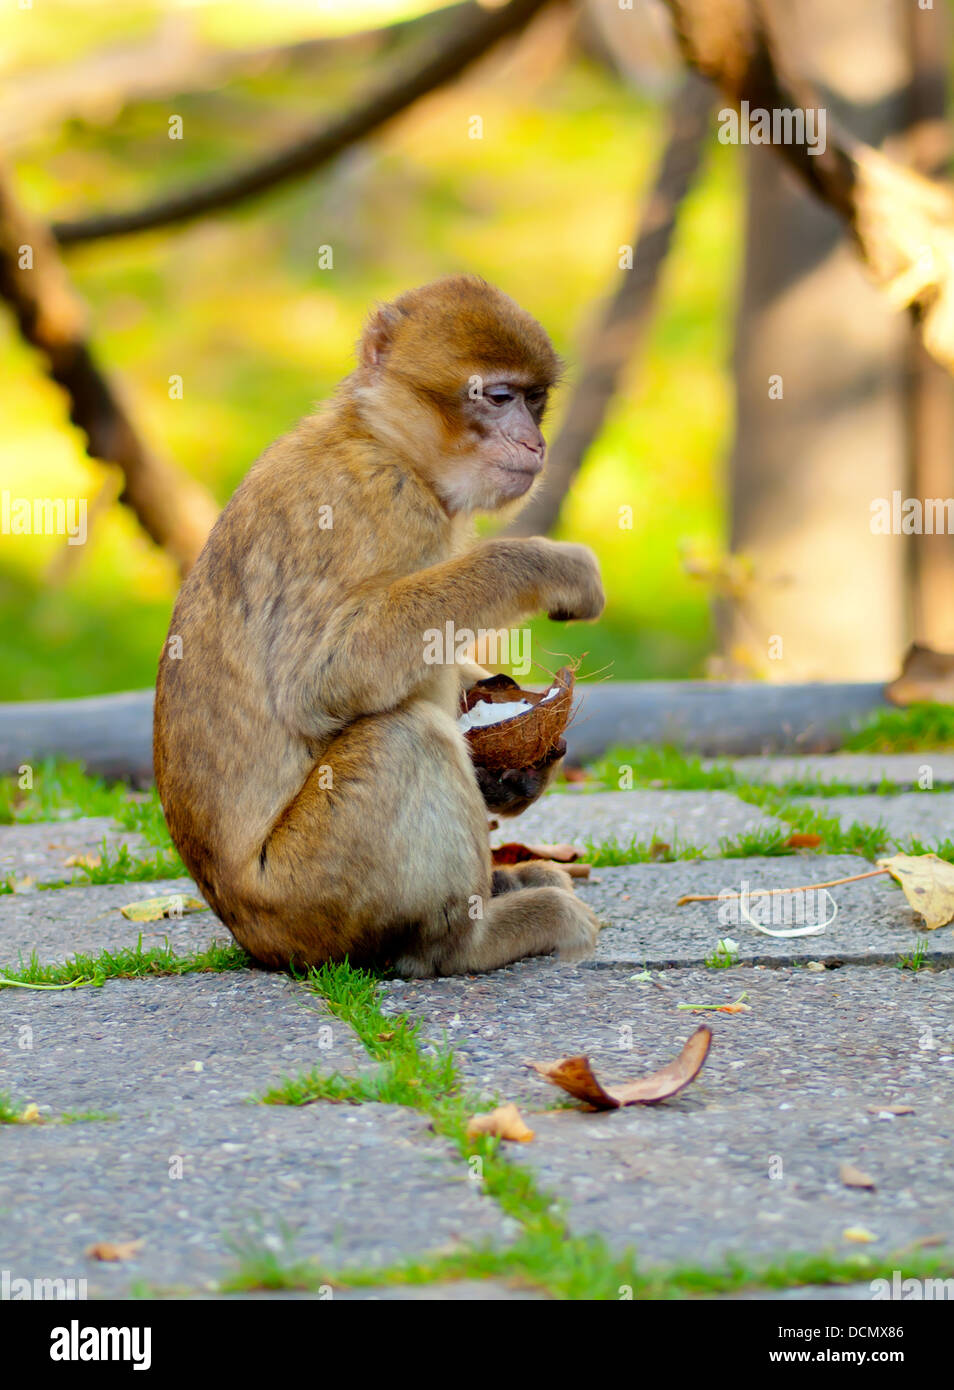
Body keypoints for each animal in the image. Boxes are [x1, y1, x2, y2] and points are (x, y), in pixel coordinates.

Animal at [153, 275, 605, 977]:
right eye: (498, 397)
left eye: (535, 401)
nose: (535, 443)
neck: (381, 439)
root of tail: (255, 939)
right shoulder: (378, 502)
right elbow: (320, 677)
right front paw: (544, 564)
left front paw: (514, 768)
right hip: (310, 894)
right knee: (404, 735)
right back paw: (471, 940)